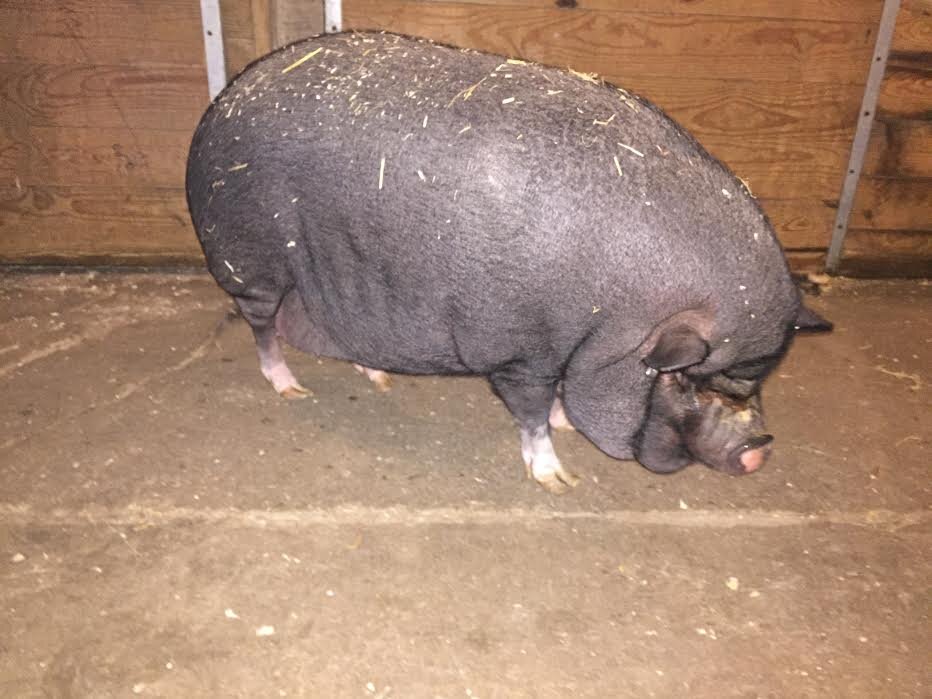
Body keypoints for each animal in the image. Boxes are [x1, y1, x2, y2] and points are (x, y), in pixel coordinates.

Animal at [186, 32, 830, 493]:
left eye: (754, 380)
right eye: (684, 380)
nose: (758, 450)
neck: (617, 314)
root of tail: (222, 103)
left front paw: (567, 427)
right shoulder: (521, 350)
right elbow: (531, 410)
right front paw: (558, 479)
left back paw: (380, 379)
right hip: (252, 260)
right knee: (261, 325)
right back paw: (291, 390)